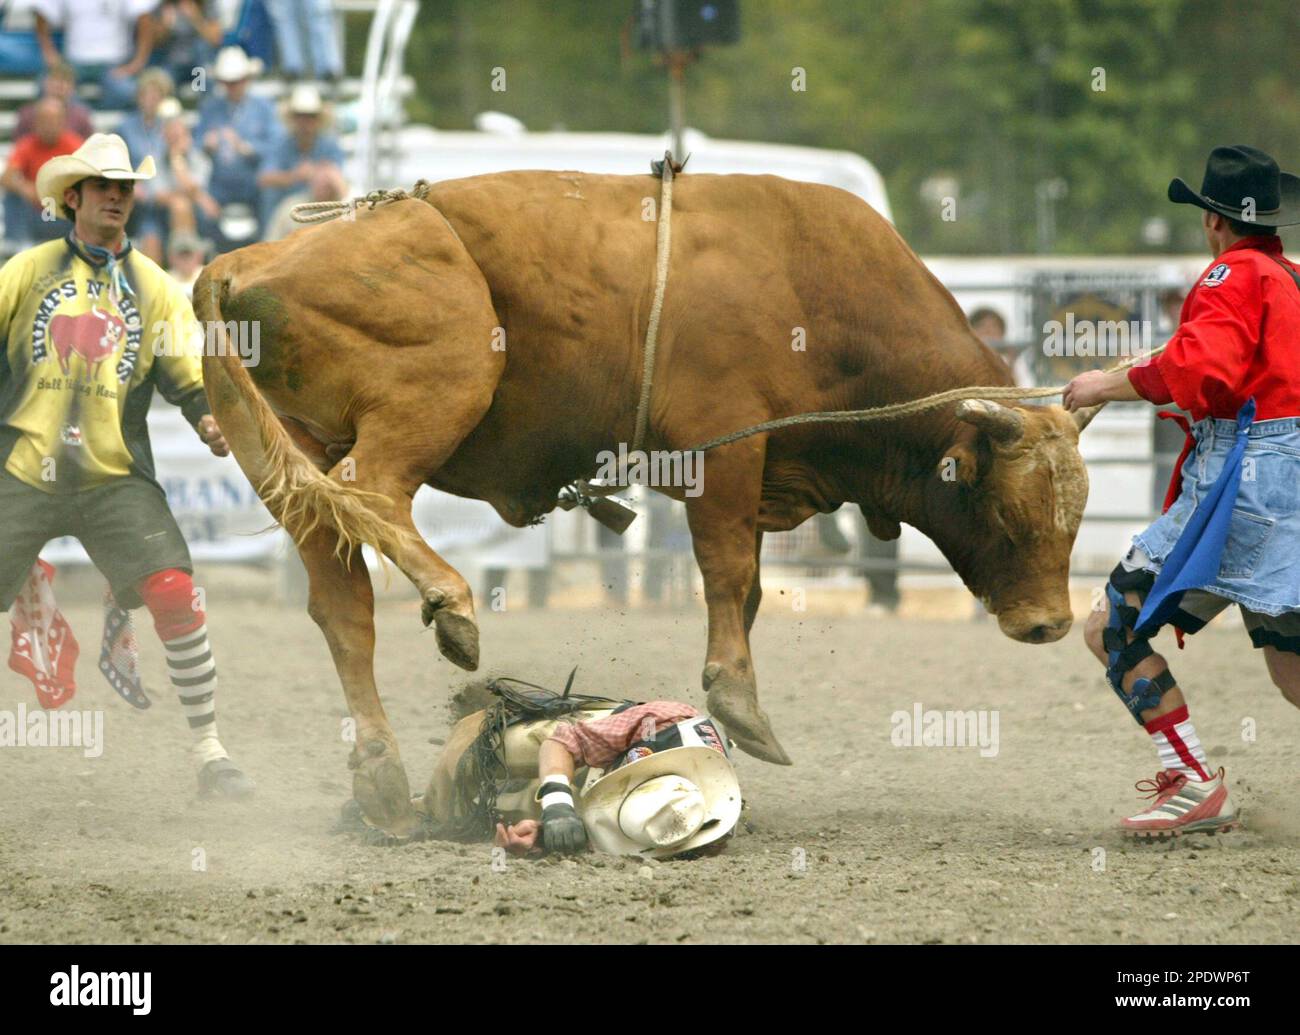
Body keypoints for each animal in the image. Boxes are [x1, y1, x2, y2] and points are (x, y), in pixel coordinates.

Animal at [194, 171, 1097, 837]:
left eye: (1076, 516)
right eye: (1009, 510)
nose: (1050, 622)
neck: (812, 289)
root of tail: (252, 261)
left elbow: (746, 586)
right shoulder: (720, 450)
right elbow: (730, 575)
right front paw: (740, 703)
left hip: (302, 440)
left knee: (341, 597)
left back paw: (381, 777)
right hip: (432, 391)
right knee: (369, 493)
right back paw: (452, 604)